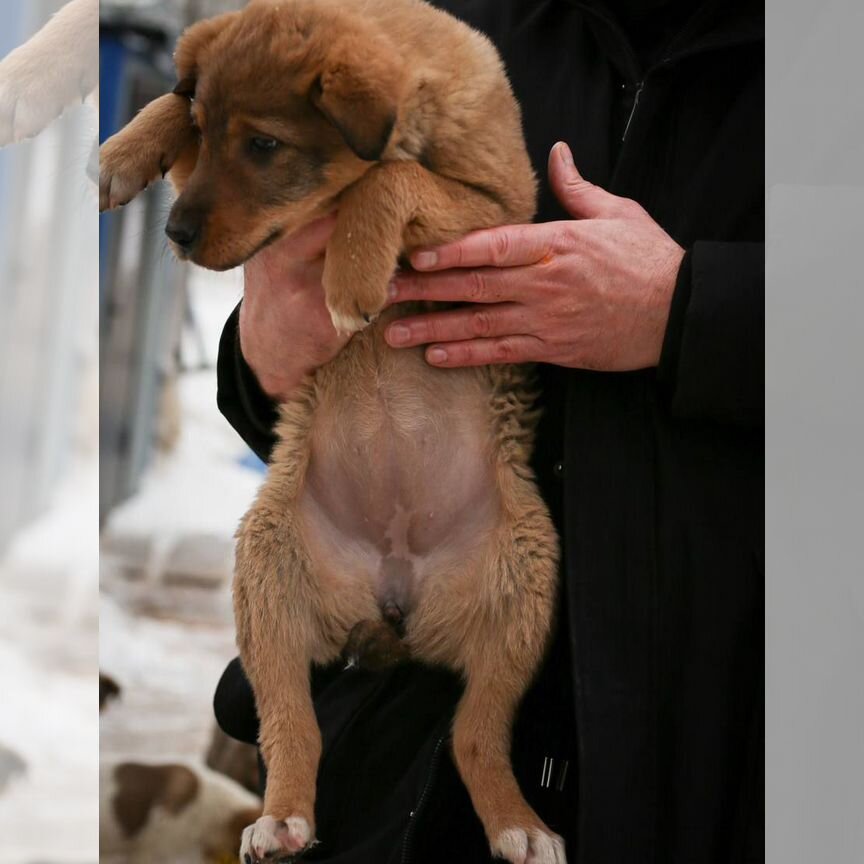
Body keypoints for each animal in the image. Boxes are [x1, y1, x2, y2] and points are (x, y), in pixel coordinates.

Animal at [99, 1, 568, 864]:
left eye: (264, 146)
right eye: (207, 128)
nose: (174, 235)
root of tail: (396, 597)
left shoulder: (500, 213)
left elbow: (393, 177)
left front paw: (351, 274)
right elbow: (175, 112)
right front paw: (124, 151)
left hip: (525, 593)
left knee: (476, 737)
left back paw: (521, 825)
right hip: (269, 578)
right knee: (294, 725)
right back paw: (282, 818)